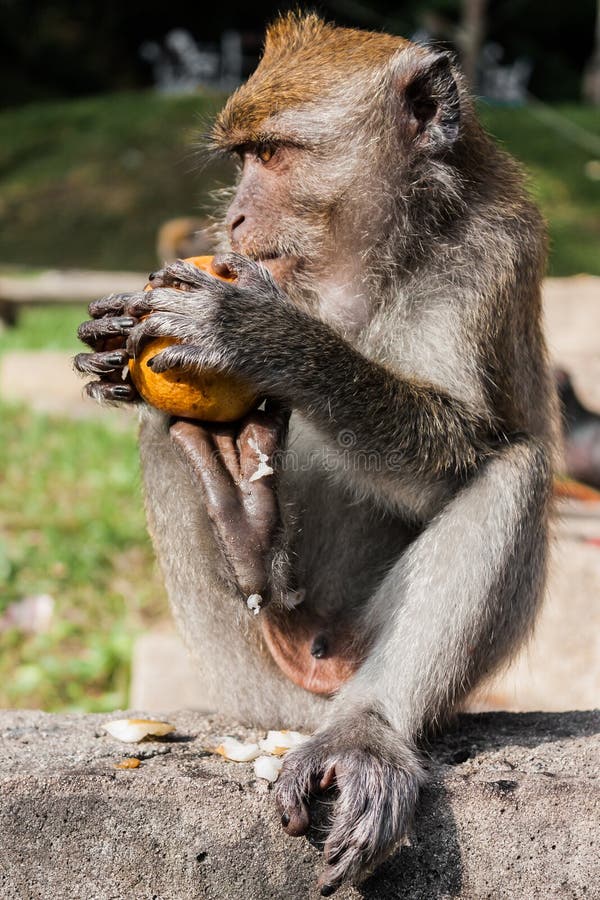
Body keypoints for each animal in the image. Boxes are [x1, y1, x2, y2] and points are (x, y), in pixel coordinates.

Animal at [75, 13, 558, 895]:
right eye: (240, 159)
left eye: (274, 155)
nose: (232, 220)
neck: (357, 269)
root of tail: (310, 696)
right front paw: (110, 351)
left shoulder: (494, 250)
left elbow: (465, 447)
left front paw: (263, 335)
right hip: (248, 672)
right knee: (164, 437)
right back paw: (245, 521)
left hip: (369, 661)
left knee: (514, 464)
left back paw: (366, 731)